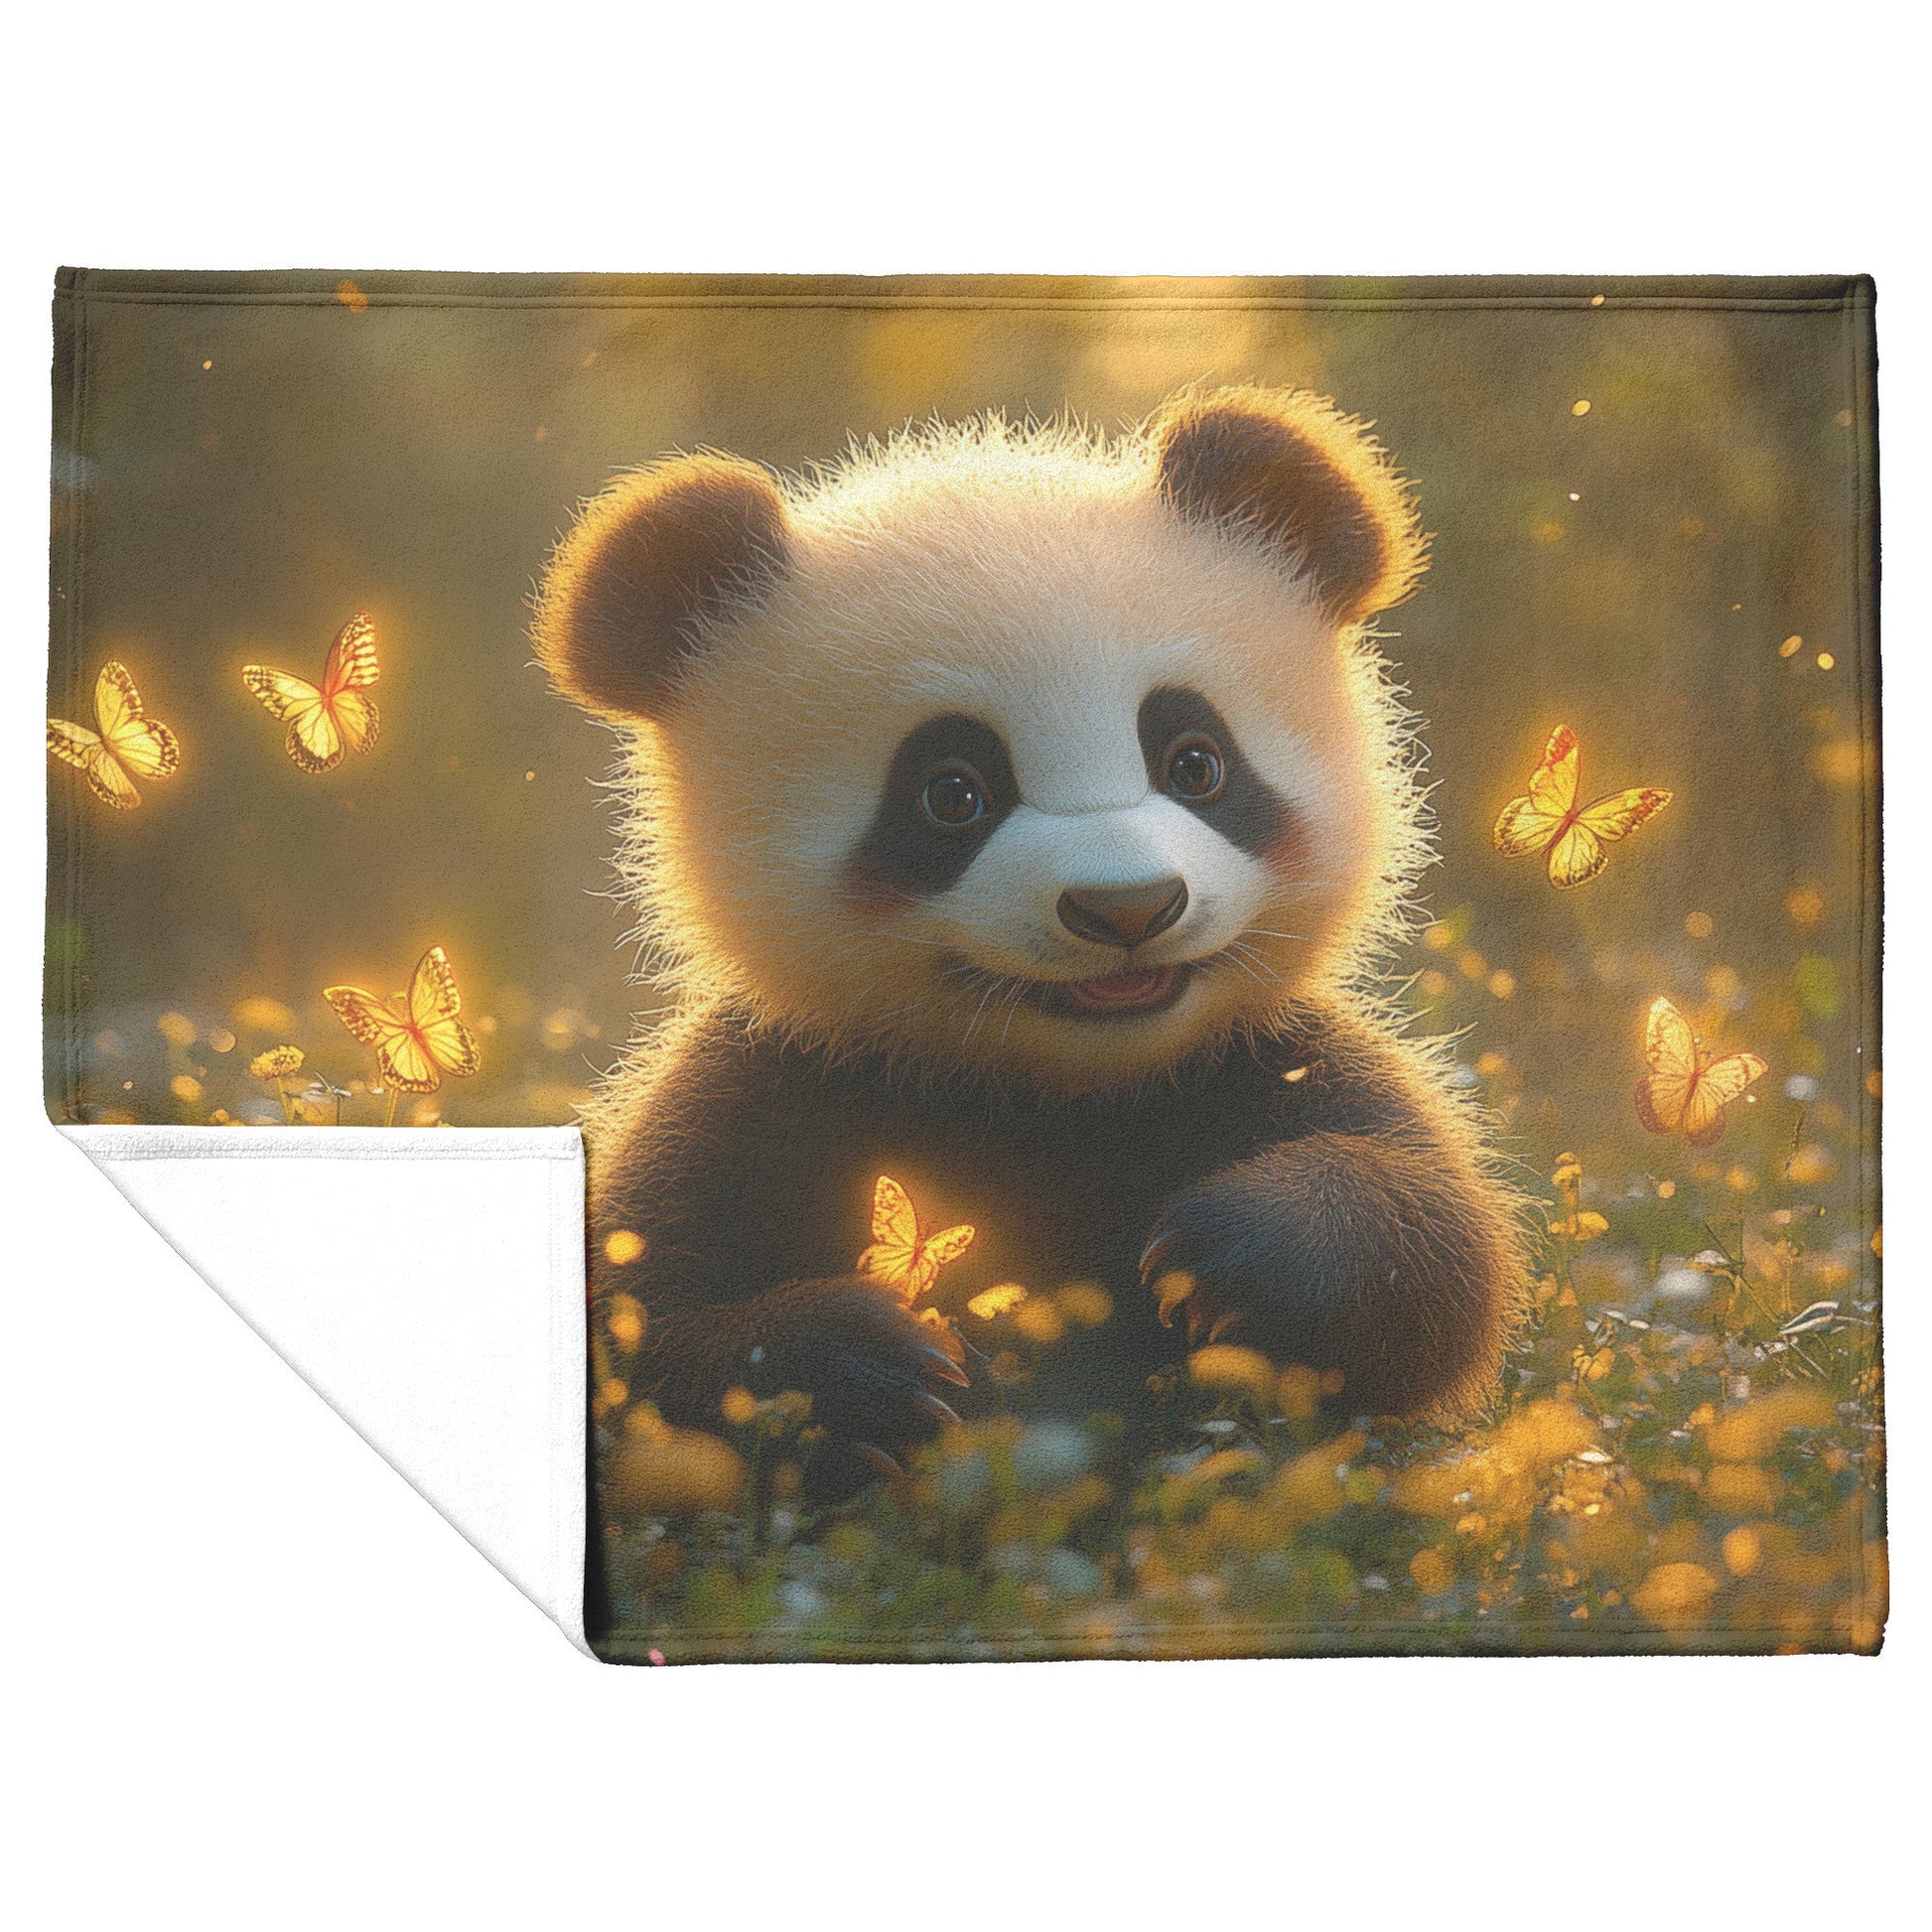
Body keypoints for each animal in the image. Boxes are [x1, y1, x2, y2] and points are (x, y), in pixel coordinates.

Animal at [536, 384, 1525, 1498]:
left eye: (1195, 761)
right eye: (951, 793)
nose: (1127, 907)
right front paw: (868, 1368)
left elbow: (1445, 1257)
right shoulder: (776, 1080)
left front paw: (1229, 1258)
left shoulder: (1258, 1055)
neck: (1058, 1091)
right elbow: (631, 1327)